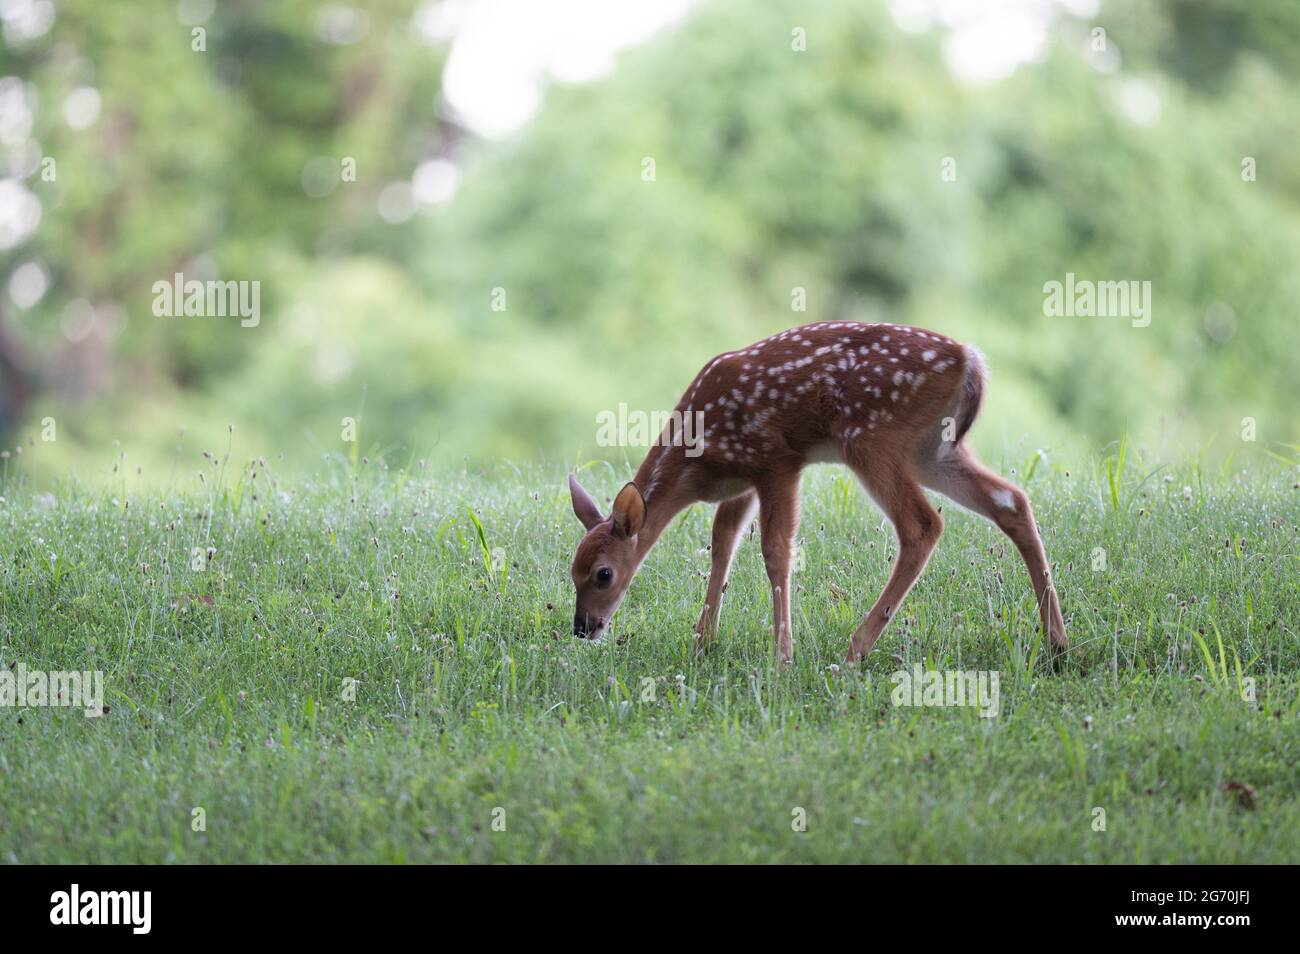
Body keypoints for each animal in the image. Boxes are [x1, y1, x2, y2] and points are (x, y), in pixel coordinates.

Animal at [567, 321, 1069, 666]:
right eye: (572, 572)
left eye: (603, 574)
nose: (582, 628)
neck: (696, 462)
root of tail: (970, 360)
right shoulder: (742, 482)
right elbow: (722, 544)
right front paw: (702, 643)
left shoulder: (776, 460)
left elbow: (775, 551)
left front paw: (782, 657)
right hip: (934, 449)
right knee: (1010, 500)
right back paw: (1057, 644)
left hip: (873, 438)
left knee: (923, 524)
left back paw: (853, 651)